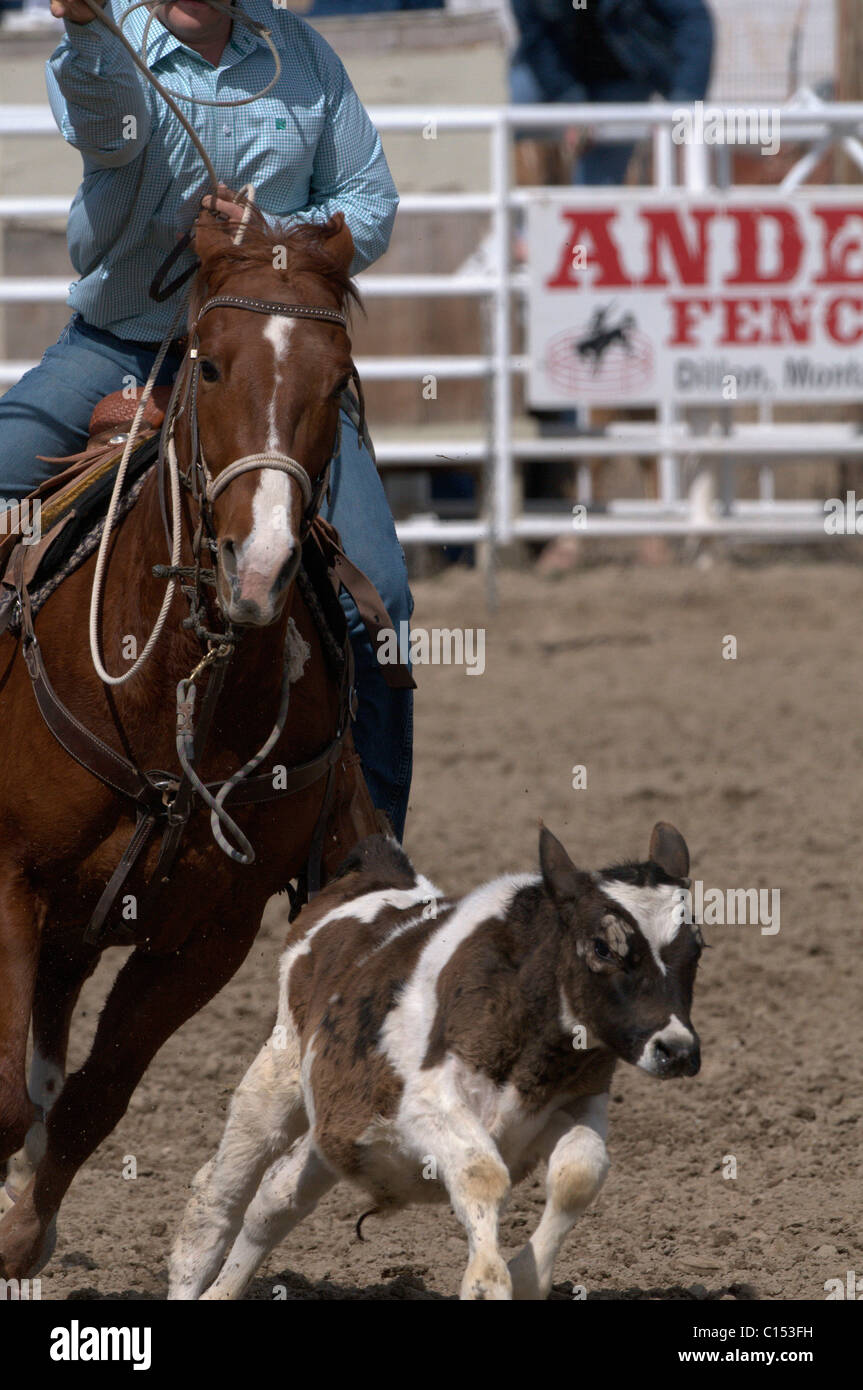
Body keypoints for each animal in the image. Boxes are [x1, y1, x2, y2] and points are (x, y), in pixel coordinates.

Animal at [0, 206, 382, 1280]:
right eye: (209, 365)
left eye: (340, 380)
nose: (259, 565)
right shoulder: (8, 877)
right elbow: (4, 1093)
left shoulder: (207, 937)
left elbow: (90, 1102)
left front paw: (20, 1233)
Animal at [169, 821, 702, 1300]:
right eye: (602, 946)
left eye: (696, 949)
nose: (677, 1050)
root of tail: (378, 875)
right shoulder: (423, 1107)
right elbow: (482, 1174)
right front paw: (486, 1283)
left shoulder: (574, 1106)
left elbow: (580, 1172)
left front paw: (526, 1275)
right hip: (278, 1073)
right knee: (218, 1197)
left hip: (335, 1130)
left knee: (275, 1201)